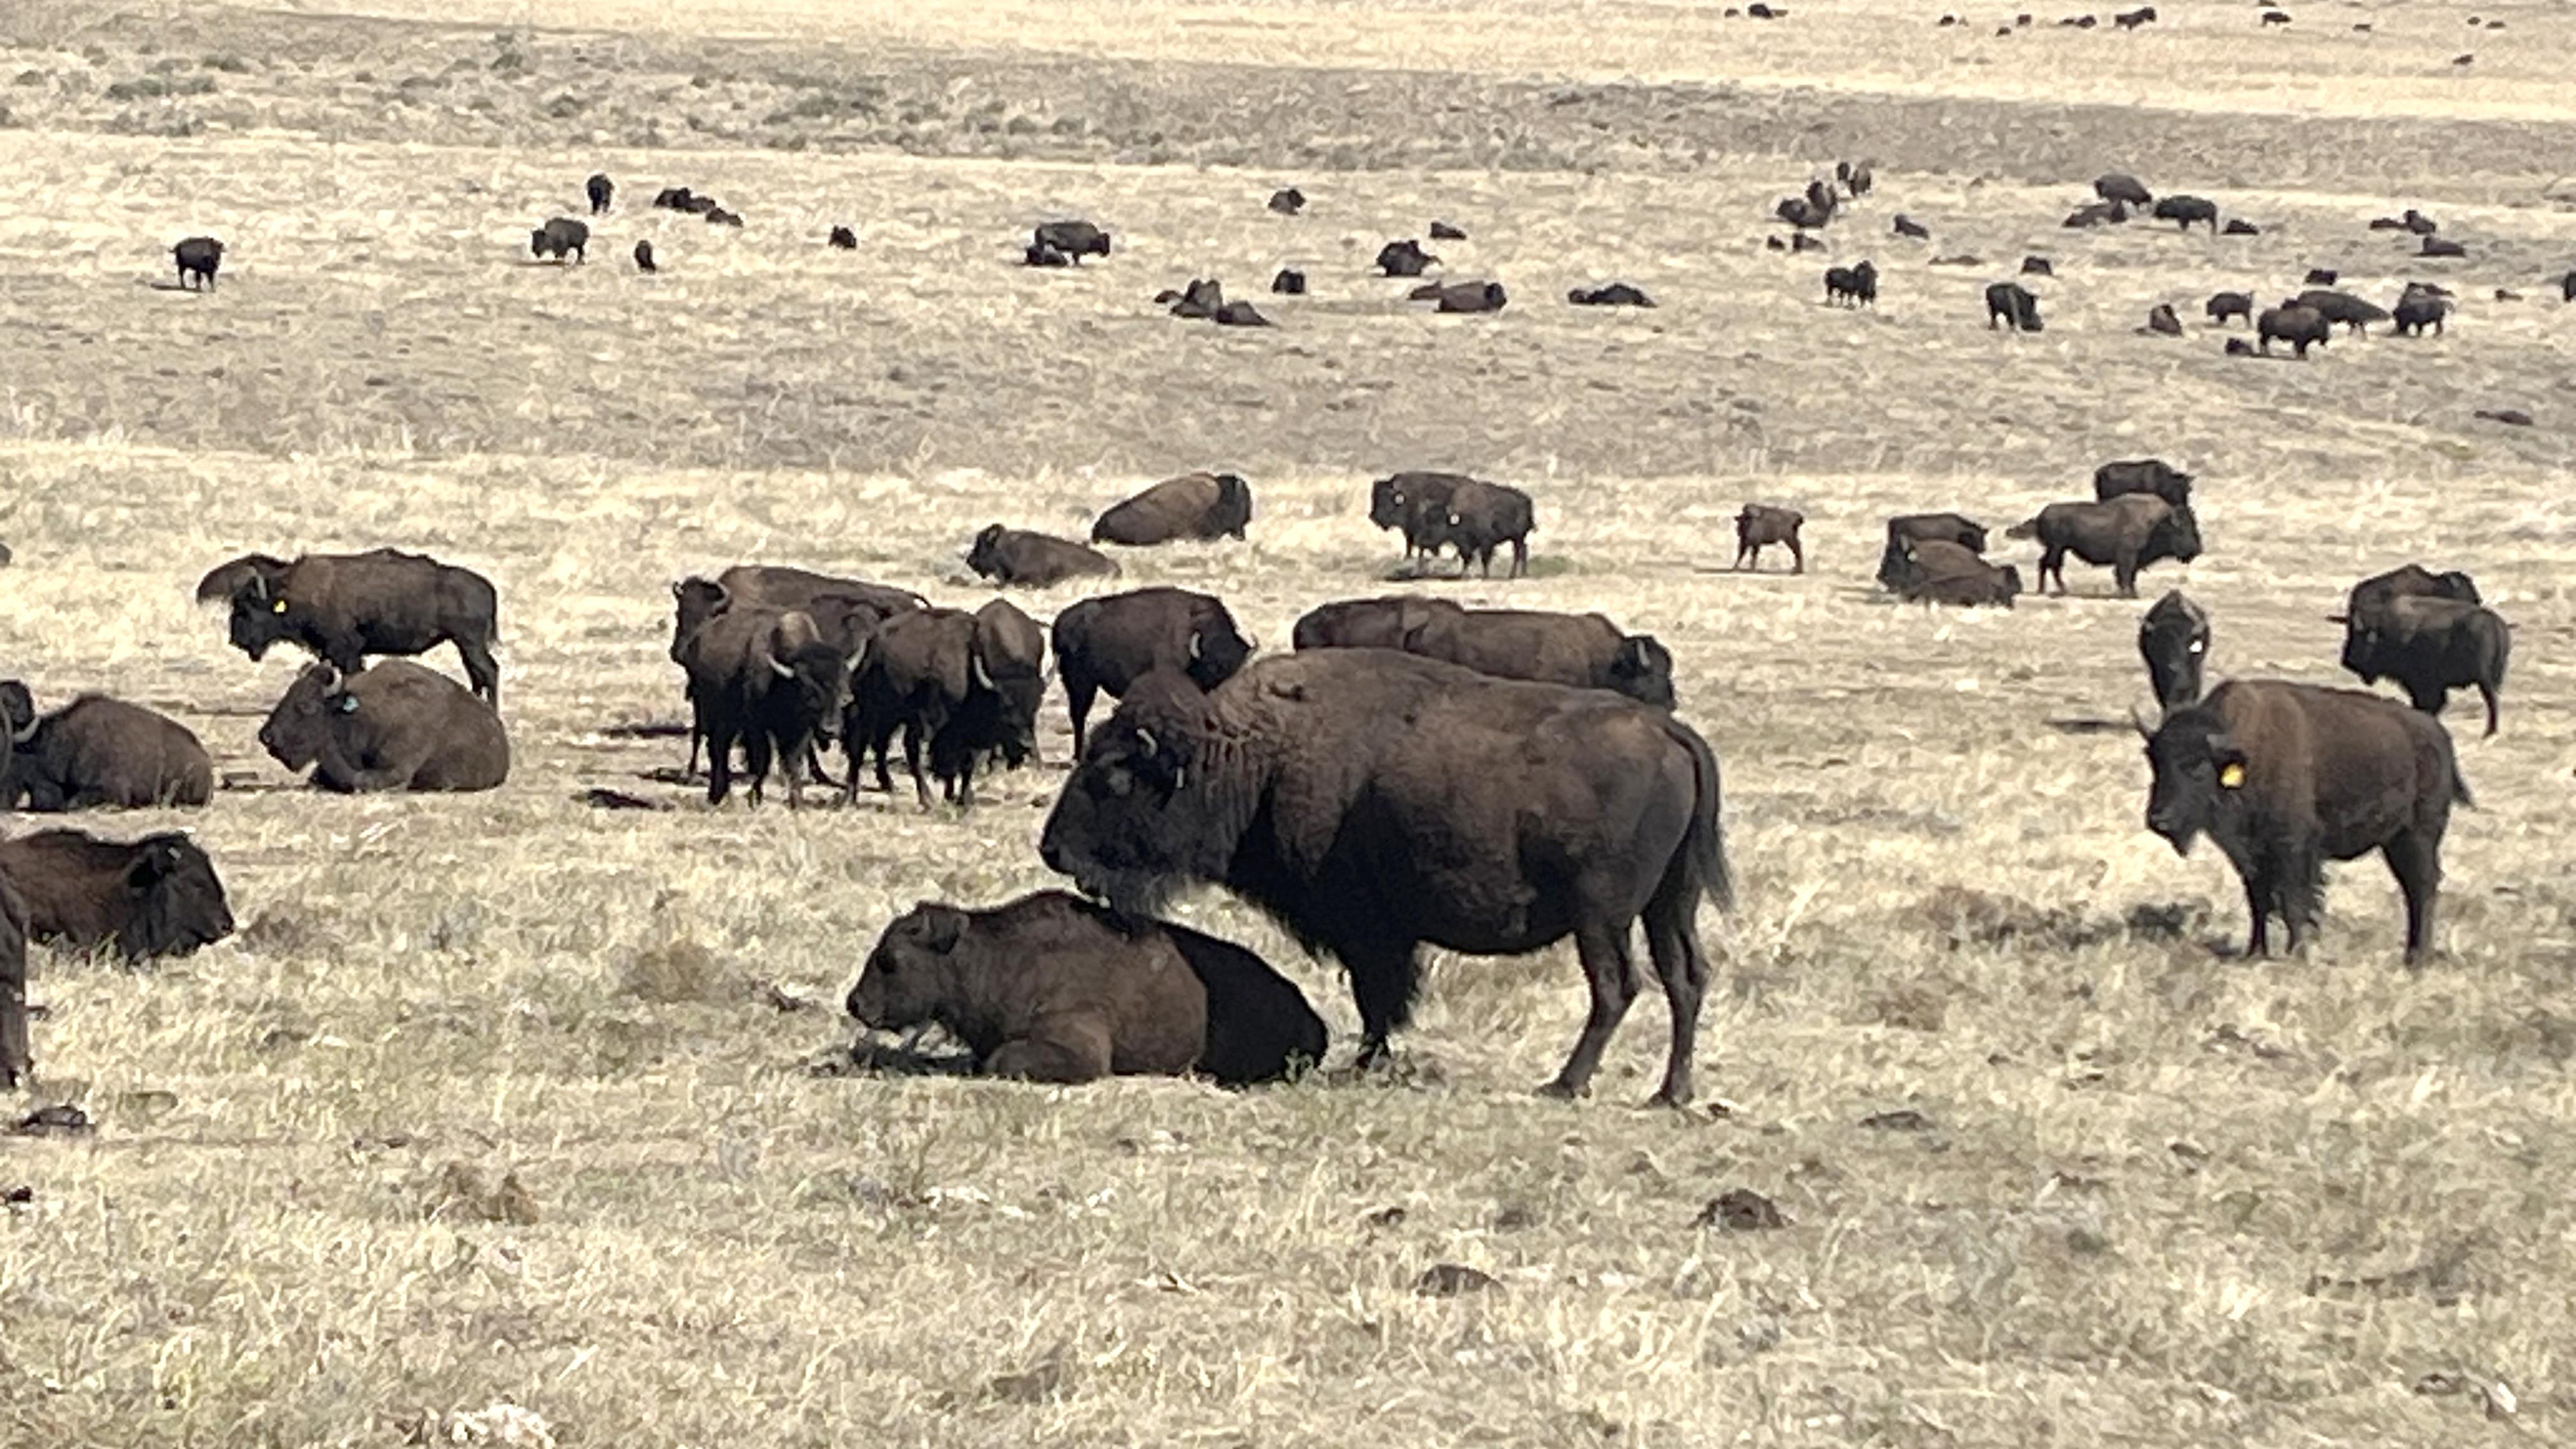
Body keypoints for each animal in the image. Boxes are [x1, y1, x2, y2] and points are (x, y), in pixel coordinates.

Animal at [197, 549, 502, 706]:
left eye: (247, 609)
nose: (236, 640)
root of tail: (487, 587)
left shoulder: (347, 651)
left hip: (470, 643)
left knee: (489, 671)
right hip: (464, 644)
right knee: (477, 675)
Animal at [1037, 652, 1731, 1105]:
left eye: (1113, 773)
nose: (1053, 850)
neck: (1255, 754)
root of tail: (1672, 733)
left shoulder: (1369, 932)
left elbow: (1378, 1000)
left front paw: (1363, 1064)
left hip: (1602, 916)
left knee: (1617, 987)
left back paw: (1564, 1084)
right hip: (1670, 904)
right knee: (1685, 978)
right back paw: (1670, 1094)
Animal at [1052, 588, 1254, 755]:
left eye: (1239, 666)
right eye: (1216, 667)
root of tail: (1062, 621)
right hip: (1081, 684)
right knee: (1078, 716)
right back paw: (1078, 755)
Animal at [2006, 495, 2202, 597]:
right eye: (2181, 531)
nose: (2197, 549)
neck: (2156, 524)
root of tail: (2040, 517)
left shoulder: (2133, 559)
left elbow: (2129, 575)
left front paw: (2131, 593)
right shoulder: (2127, 556)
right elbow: (2125, 574)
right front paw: (2128, 594)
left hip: (2058, 548)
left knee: (2046, 564)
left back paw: (2045, 590)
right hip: (2057, 547)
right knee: (2051, 565)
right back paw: (2060, 590)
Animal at [2142, 679, 2467, 961]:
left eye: (2196, 764)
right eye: (2155, 761)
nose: (2159, 819)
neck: (2246, 754)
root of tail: (2439, 736)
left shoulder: (2293, 848)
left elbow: (2294, 903)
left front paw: (2297, 954)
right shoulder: (2252, 854)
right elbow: (2259, 902)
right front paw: (2255, 953)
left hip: (2419, 835)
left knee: (2422, 886)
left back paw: (2418, 959)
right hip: (2395, 841)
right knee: (2413, 888)